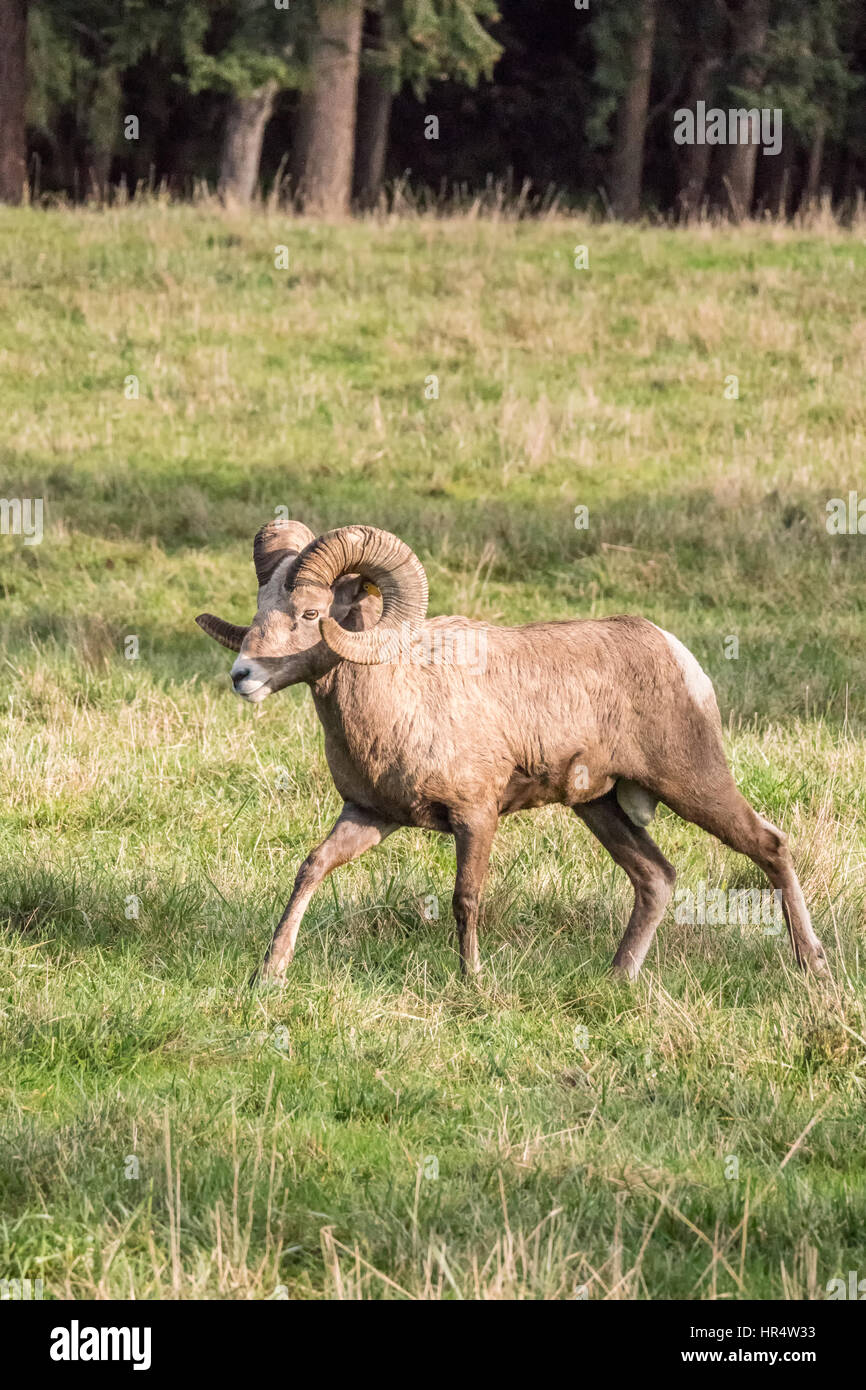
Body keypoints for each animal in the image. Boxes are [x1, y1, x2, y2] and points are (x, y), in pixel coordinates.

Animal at [196, 520, 828, 984]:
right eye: (259, 612)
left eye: (309, 614)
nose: (242, 676)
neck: (401, 693)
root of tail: (677, 653)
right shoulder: (369, 816)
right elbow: (311, 869)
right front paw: (270, 973)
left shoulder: (476, 817)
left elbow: (465, 898)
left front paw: (472, 978)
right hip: (599, 807)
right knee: (656, 877)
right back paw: (617, 977)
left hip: (693, 784)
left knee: (770, 846)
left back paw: (813, 967)